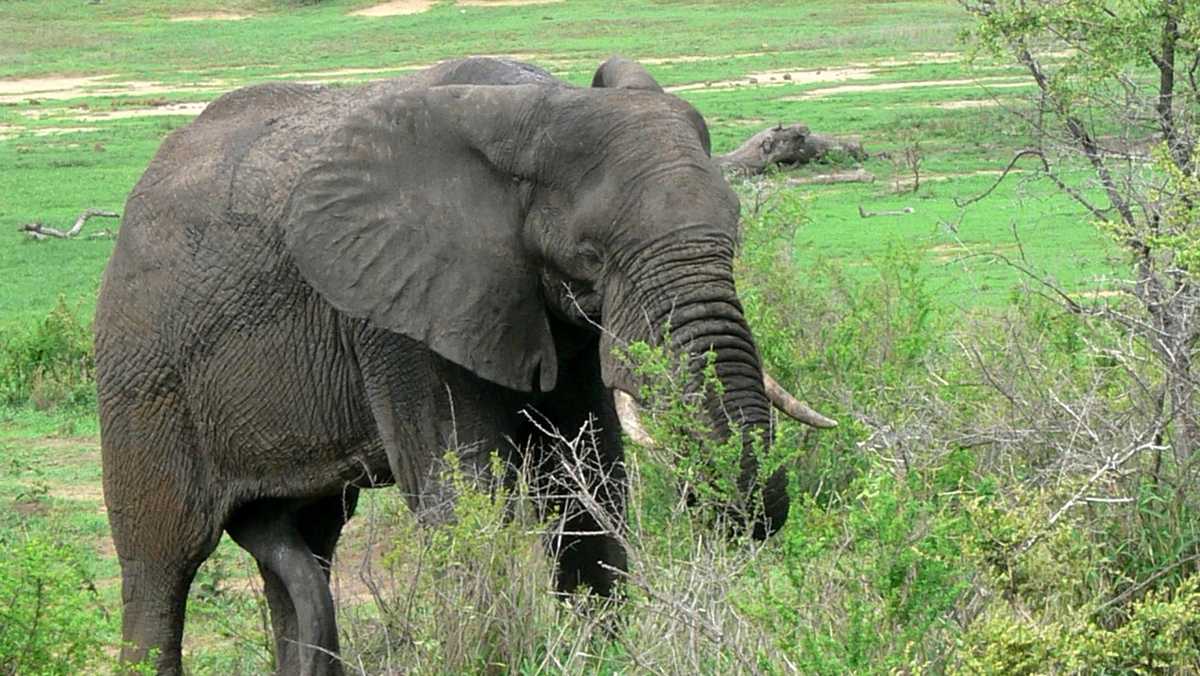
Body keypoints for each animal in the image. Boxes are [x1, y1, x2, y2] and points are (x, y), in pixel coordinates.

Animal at [95, 56, 835, 675]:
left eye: (734, 232)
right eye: (592, 254)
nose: (736, 519)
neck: (537, 109)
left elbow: (588, 484)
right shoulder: (398, 312)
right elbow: (462, 497)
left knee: (308, 543)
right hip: (143, 371)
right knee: (162, 564)